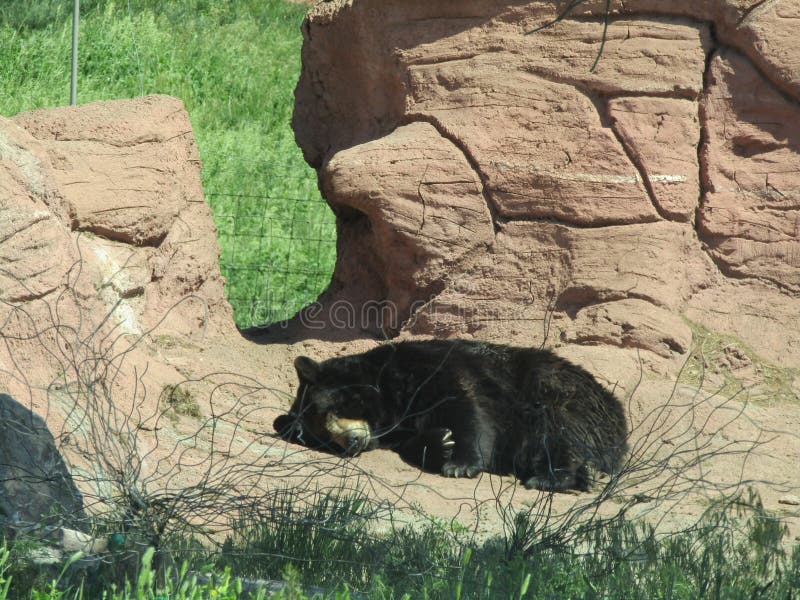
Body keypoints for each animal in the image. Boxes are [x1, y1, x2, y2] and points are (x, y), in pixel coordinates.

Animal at [273, 339, 628, 492]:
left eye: (331, 409)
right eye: (322, 439)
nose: (350, 443)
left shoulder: (431, 368)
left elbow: (465, 407)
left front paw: (460, 462)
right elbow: (413, 438)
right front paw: (440, 443)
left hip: (561, 395)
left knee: (557, 430)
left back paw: (555, 475)